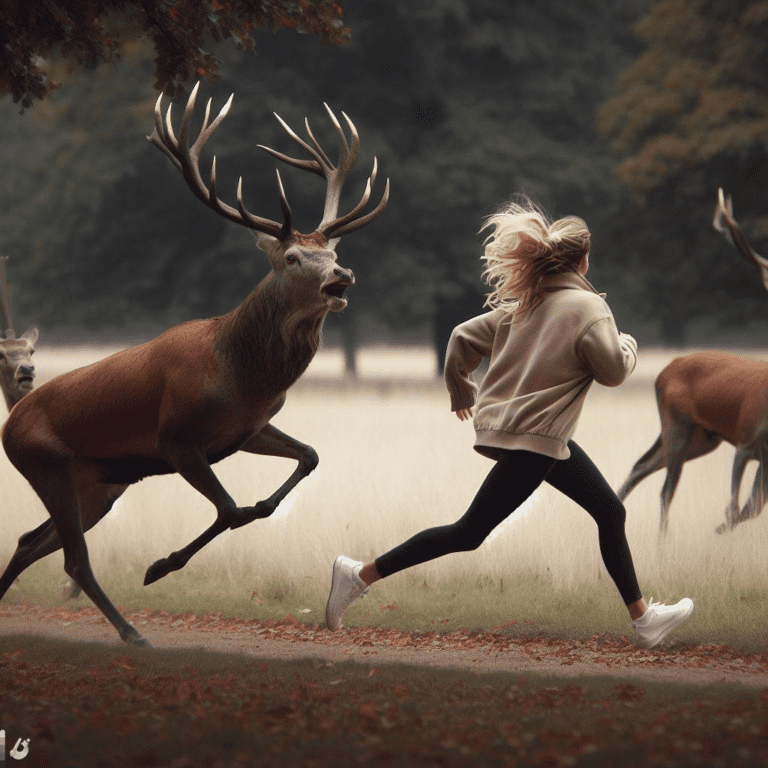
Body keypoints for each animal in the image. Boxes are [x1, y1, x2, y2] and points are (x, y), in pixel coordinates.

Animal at [0, 83, 389, 646]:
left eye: (333, 251)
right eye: (293, 257)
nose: (343, 275)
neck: (239, 377)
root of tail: (10, 422)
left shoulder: (248, 428)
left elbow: (307, 459)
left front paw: (254, 511)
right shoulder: (175, 438)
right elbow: (230, 510)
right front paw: (159, 566)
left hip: (97, 484)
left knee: (31, 541)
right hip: (45, 463)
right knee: (73, 558)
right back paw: (132, 632)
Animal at [617, 188, 768, 536]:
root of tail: (665, 370)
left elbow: (751, 508)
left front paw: (719, 529)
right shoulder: (746, 441)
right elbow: (736, 507)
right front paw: (719, 528)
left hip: (703, 437)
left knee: (641, 465)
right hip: (677, 423)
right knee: (664, 490)